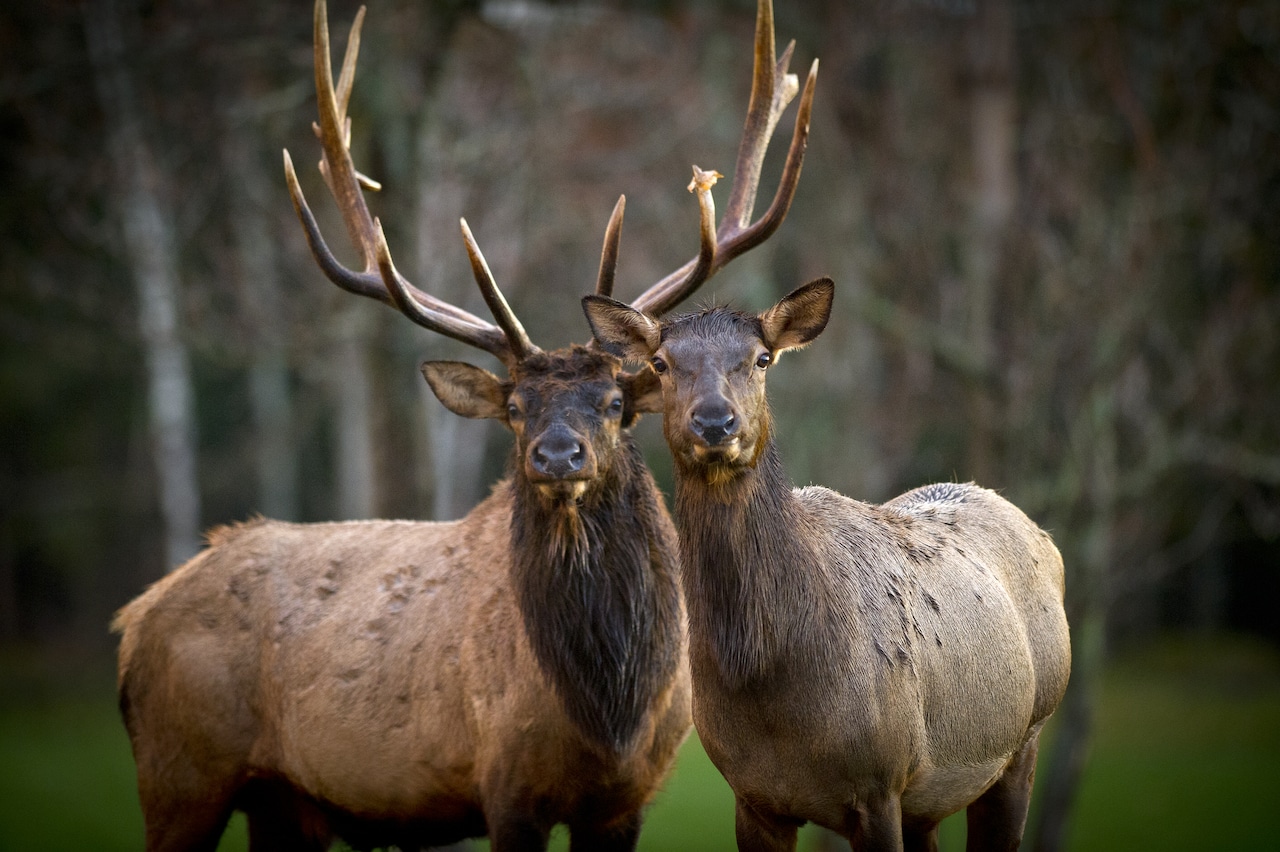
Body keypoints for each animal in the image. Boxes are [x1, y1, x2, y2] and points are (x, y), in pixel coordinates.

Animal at [112, 1, 817, 850]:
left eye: (615, 403)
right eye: (514, 408)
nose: (557, 454)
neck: (610, 709)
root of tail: (133, 622)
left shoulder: (631, 797)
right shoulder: (504, 783)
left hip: (282, 801)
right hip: (179, 770)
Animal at [583, 279, 1072, 852]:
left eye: (762, 358)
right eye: (660, 362)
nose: (714, 422)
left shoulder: (881, 782)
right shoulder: (752, 797)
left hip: (1028, 734)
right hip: (930, 801)